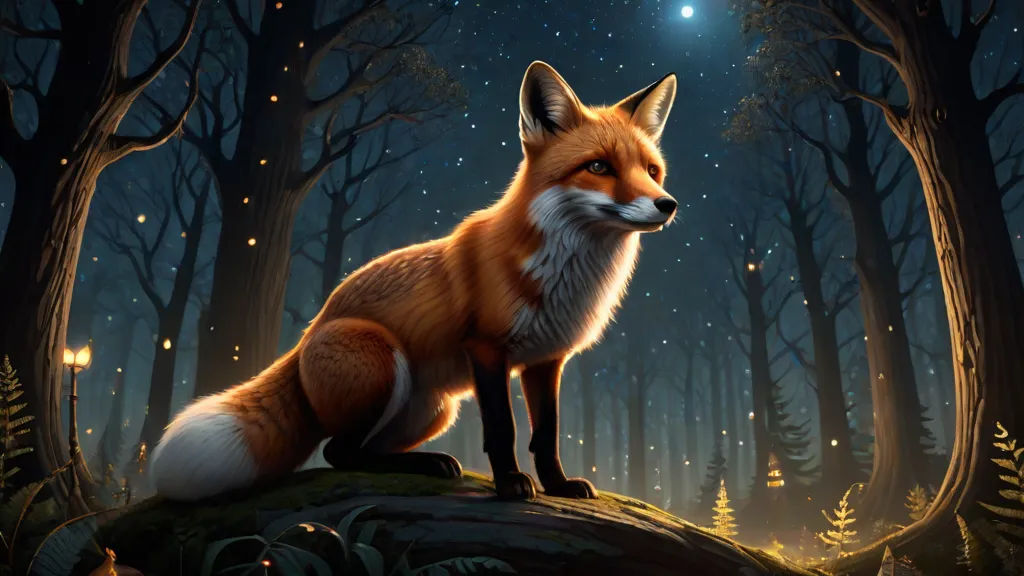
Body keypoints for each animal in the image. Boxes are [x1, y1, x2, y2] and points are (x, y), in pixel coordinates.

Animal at [151, 61, 677, 501]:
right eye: (599, 167)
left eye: (652, 170)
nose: (667, 204)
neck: (562, 274)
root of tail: (304, 337)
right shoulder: (486, 348)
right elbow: (503, 430)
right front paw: (510, 484)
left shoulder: (547, 360)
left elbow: (545, 435)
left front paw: (559, 486)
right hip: (383, 364)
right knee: (338, 453)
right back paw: (427, 466)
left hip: (434, 409)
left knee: (360, 451)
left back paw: (429, 463)